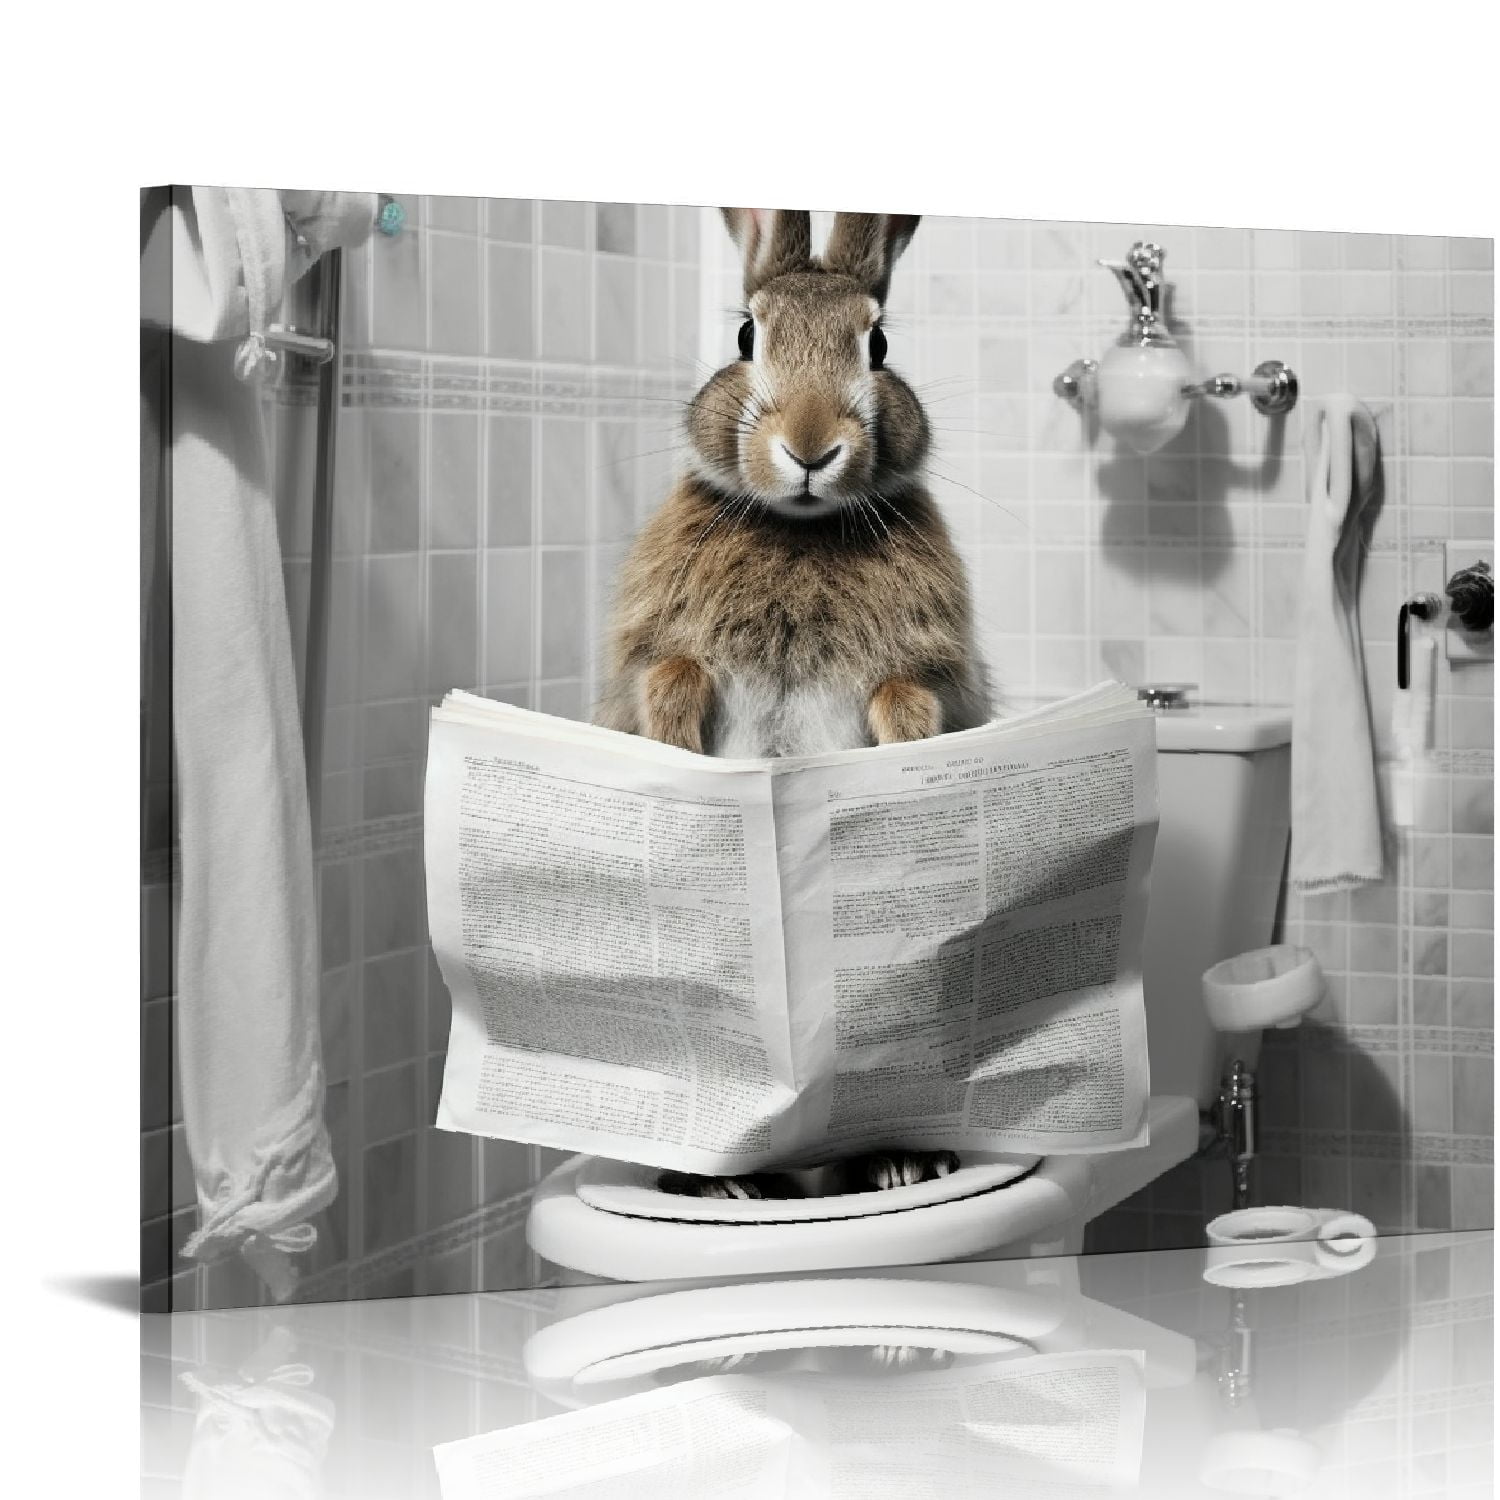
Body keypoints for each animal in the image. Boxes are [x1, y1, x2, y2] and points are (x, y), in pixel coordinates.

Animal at [596, 208, 991, 1200]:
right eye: (746, 337)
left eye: (878, 347)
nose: (810, 446)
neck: (800, 530)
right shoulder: (654, 650)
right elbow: (671, 679)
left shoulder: (933, 671)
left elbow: (904, 698)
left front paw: (899, 736)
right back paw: (724, 1184)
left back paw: (901, 1163)